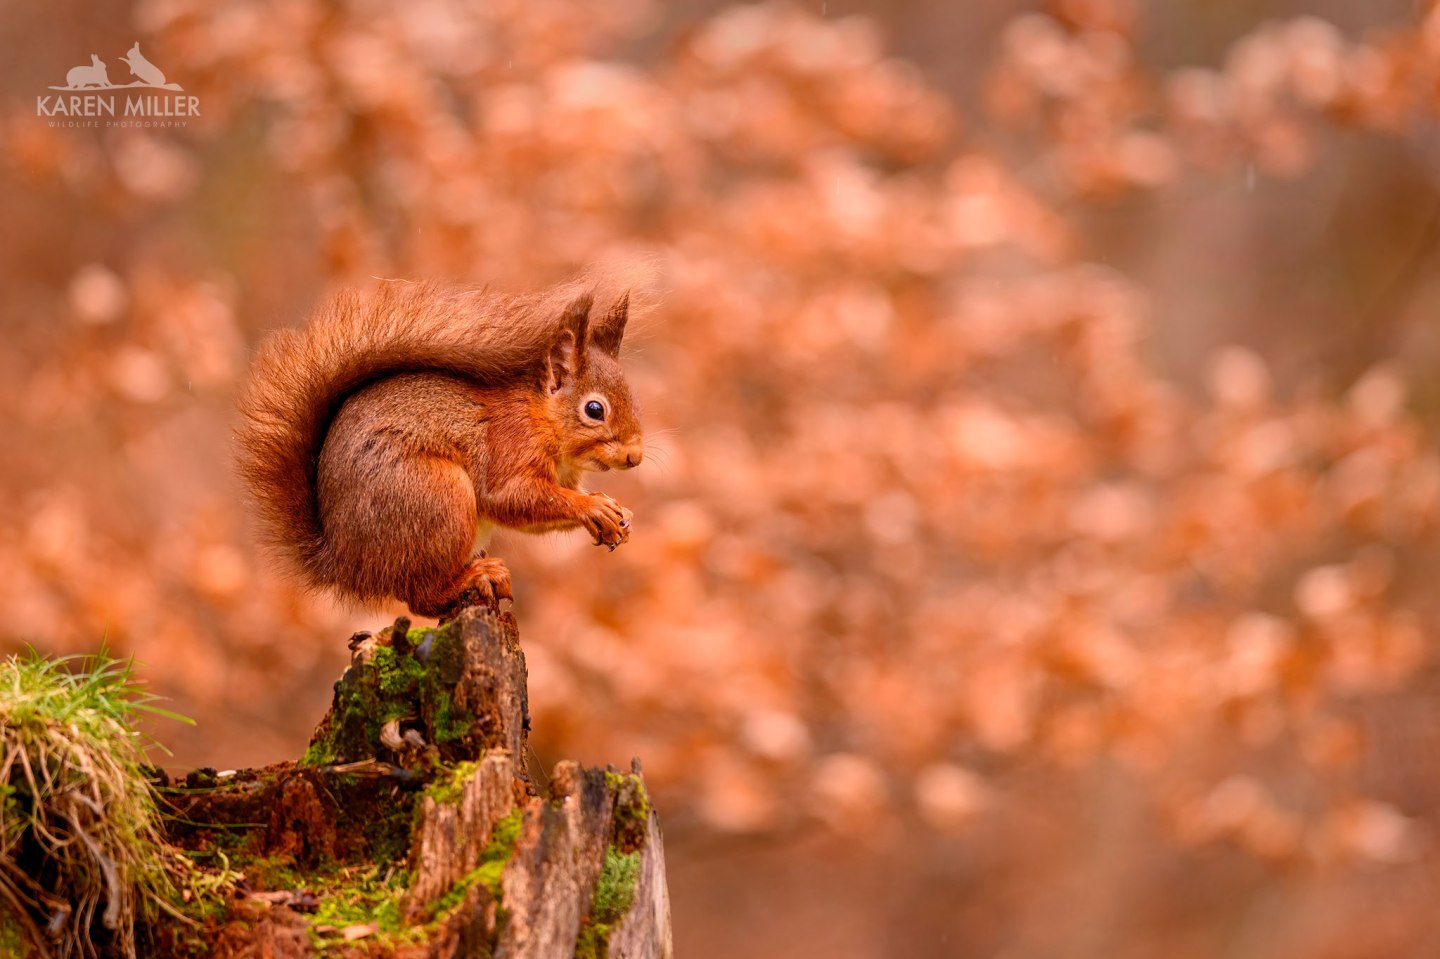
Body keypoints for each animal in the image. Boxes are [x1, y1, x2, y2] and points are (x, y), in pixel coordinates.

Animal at [234, 275, 644, 617]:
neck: (540, 418)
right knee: (420, 599)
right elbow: (514, 498)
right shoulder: (508, 448)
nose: (635, 456)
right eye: (594, 409)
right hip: (438, 498)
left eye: (634, 399)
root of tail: (347, 563)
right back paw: (474, 577)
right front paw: (592, 507)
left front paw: (615, 511)